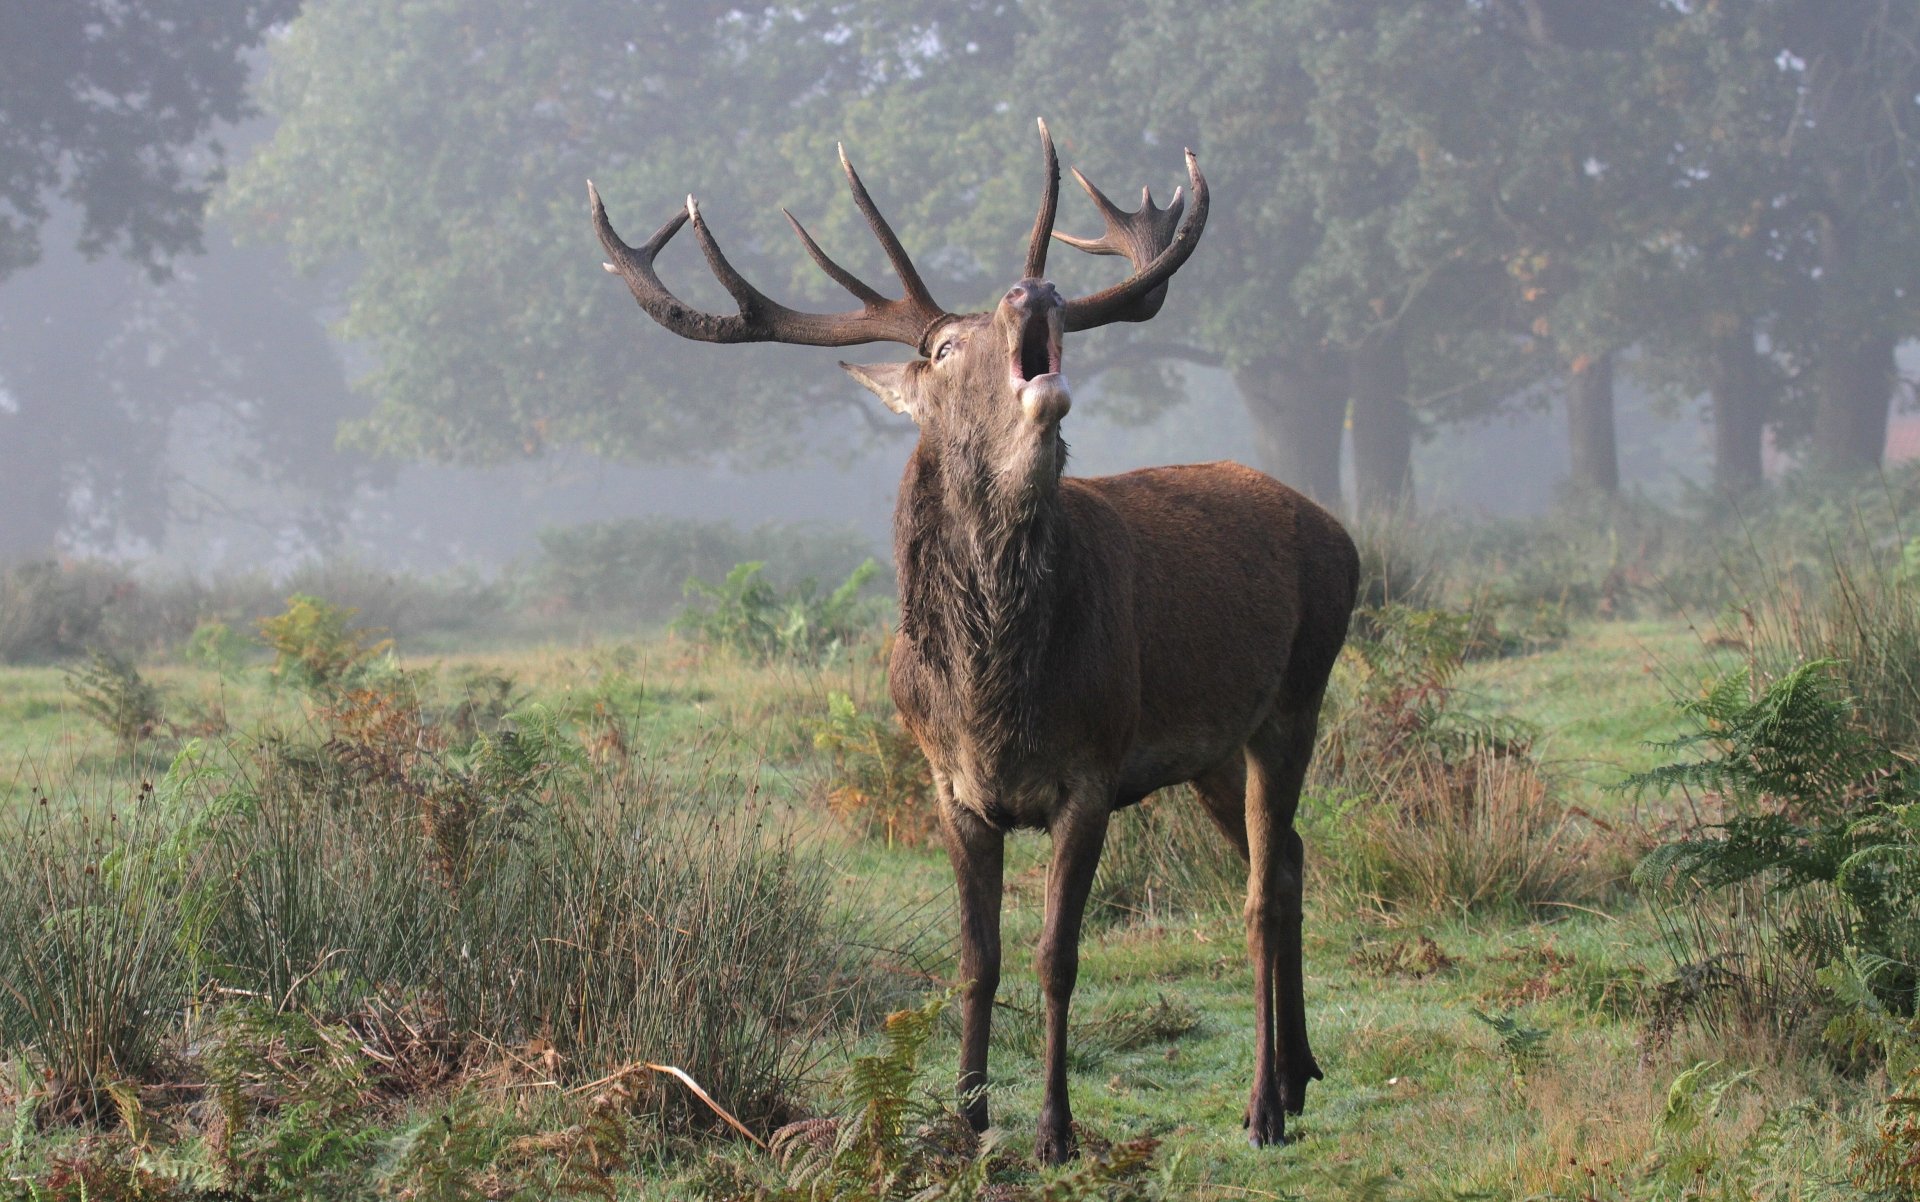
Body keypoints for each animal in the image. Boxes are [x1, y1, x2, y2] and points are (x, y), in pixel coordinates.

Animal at [588, 120, 1358, 1163]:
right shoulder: (948, 784)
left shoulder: (1093, 771)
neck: (995, 697)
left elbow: (1056, 957)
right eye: (947, 347)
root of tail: (1338, 533)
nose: (1035, 292)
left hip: (1299, 695)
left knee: (1261, 893)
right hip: (1210, 753)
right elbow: (973, 959)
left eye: (1050, 312)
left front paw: (1055, 1131)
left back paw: (1264, 1104)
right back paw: (1300, 1070)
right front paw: (965, 1116)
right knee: (1288, 858)